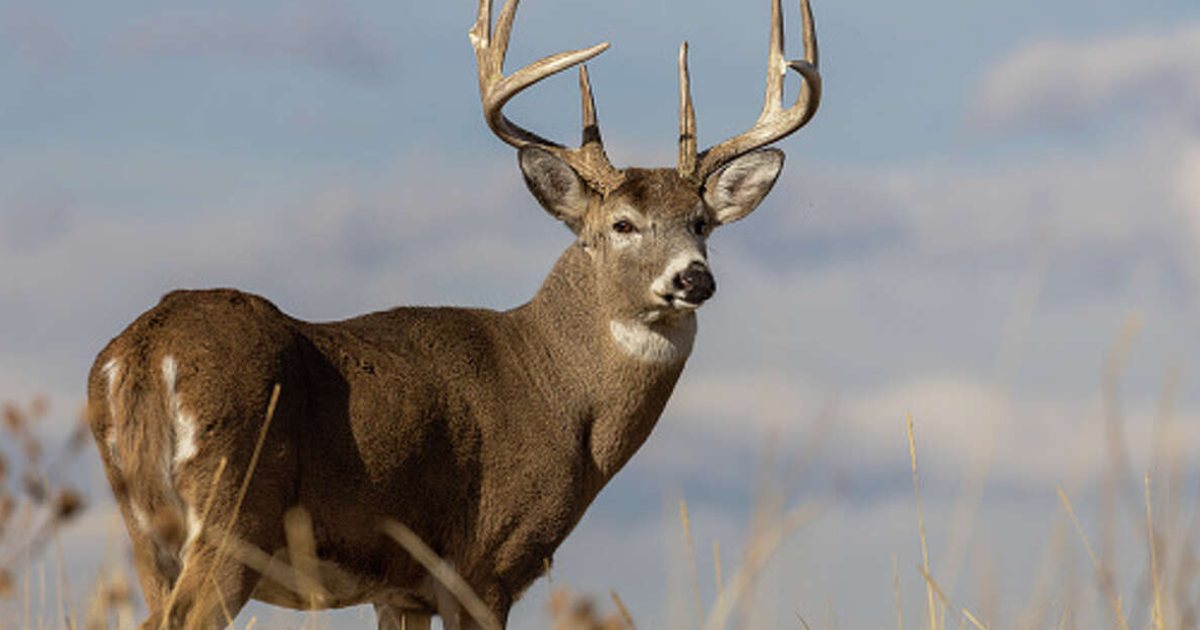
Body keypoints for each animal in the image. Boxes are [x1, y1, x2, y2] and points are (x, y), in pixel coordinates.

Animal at [85, 0, 820, 628]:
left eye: (701, 223)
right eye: (622, 224)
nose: (694, 277)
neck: (557, 389)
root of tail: (143, 351)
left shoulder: (400, 588)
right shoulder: (487, 560)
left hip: (145, 527)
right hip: (232, 512)